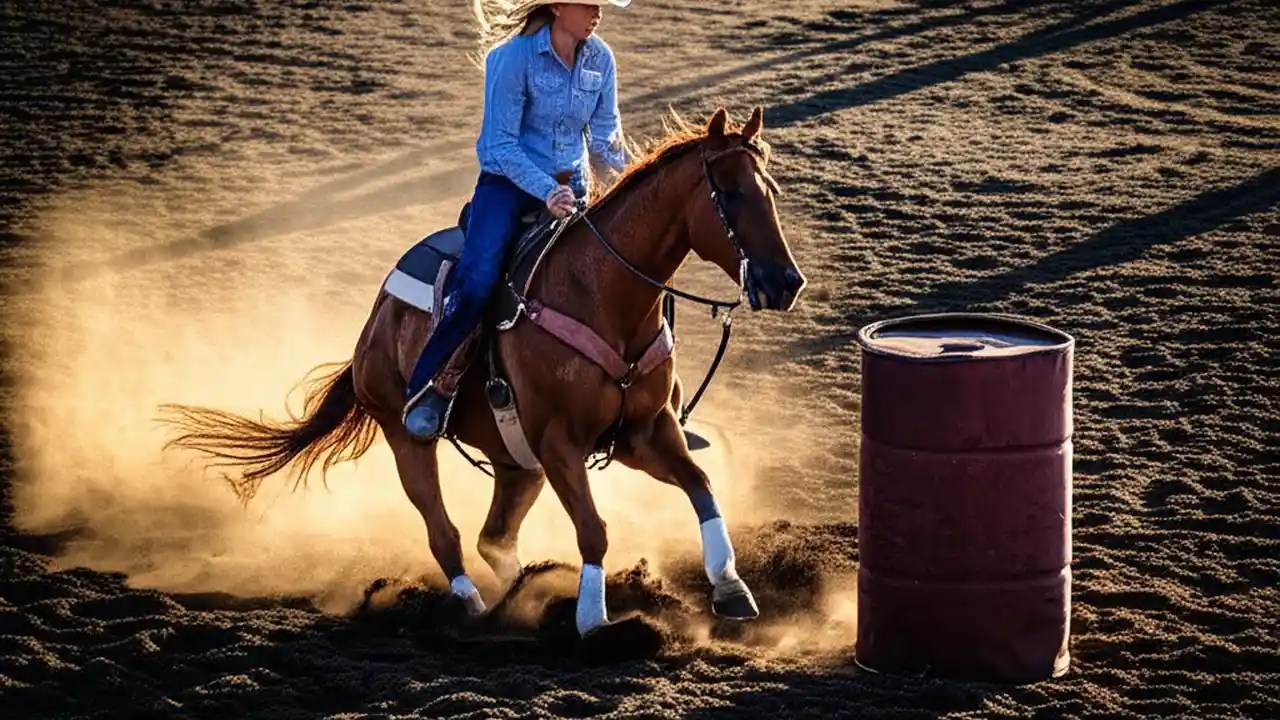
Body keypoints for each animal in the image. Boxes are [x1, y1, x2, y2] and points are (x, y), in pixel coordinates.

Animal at [160, 106, 806, 638]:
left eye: (771, 190)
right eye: (729, 192)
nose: (785, 282)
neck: (602, 294)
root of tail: (375, 320)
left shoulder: (645, 432)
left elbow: (701, 486)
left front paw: (732, 588)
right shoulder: (559, 442)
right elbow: (593, 528)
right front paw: (593, 621)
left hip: (517, 463)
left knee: (493, 538)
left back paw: (525, 588)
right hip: (408, 437)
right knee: (444, 531)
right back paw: (471, 606)